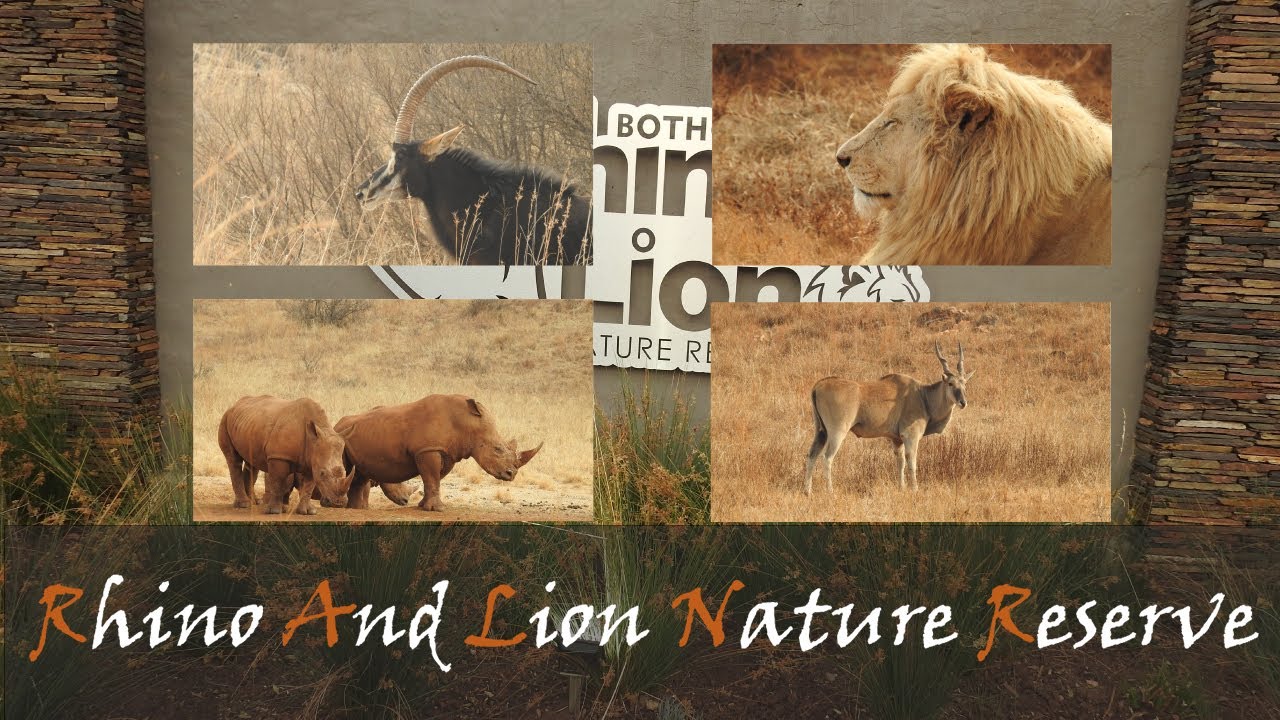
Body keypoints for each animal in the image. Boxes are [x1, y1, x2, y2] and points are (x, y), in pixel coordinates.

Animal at [217, 395, 356, 515]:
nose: (339, 503)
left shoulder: (312, 459)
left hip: (248, 424)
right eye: (322, 473)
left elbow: (308, 486)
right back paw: (244, 505)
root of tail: (234, 405)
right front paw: (274, 511)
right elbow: (278, 481)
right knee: (233, 460)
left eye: (345, 472)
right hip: (225, 419)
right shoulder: (279, 456)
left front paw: (307, 512)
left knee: (251, 464)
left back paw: (254, 502)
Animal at [334, 394, 543, 511]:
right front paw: (437, 510)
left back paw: (356, 510)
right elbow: (432, 477)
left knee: (359, 473)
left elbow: (434, 478)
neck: (468, 424)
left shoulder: (448, 453)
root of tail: (336, 424)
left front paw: (423, 506)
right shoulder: (427, 449)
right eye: (497, 449)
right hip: (339, 439)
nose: (511, 474)